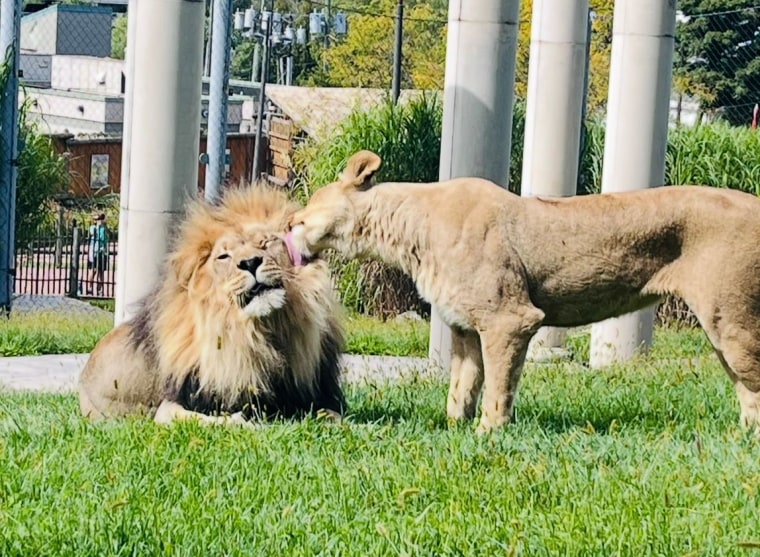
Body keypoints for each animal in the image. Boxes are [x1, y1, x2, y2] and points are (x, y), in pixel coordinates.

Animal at [79, 185, 345, 426]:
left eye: (266, 243)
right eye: (224, 256)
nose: (250, 262)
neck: (266, 329)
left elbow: (335, 415)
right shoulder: (171, 405)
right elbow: (209, 420)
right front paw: (242, 422)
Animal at [286, 149, 760, 434]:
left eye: (304, 213)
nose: (288, 223)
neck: (408, 231)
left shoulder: (510, 319)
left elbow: (499, 385)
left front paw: (490, 434)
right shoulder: (465, 327)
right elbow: (462, 387)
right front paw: (454, 431)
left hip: (730, 318)